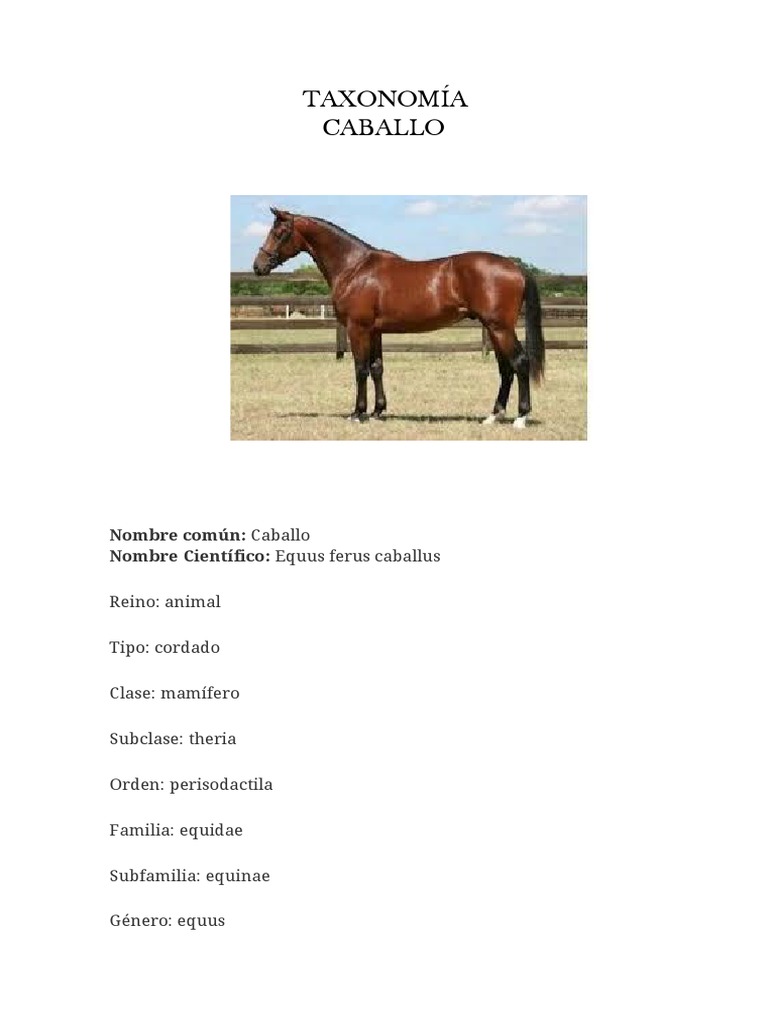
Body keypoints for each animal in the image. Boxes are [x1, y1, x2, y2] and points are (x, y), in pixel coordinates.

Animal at [253, 207, 545, 427]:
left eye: (279, 233)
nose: (258, 266)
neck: (355, 267)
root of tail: (515, 267)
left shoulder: (358, 328)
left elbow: (360, 369)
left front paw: (357, 413)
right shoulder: (374, 331)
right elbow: (377, 368)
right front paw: (377, 411)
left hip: (500, 327)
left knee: (520, 363)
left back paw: (520, 417)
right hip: (494, 328)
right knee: (505, 369)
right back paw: (493, 415)